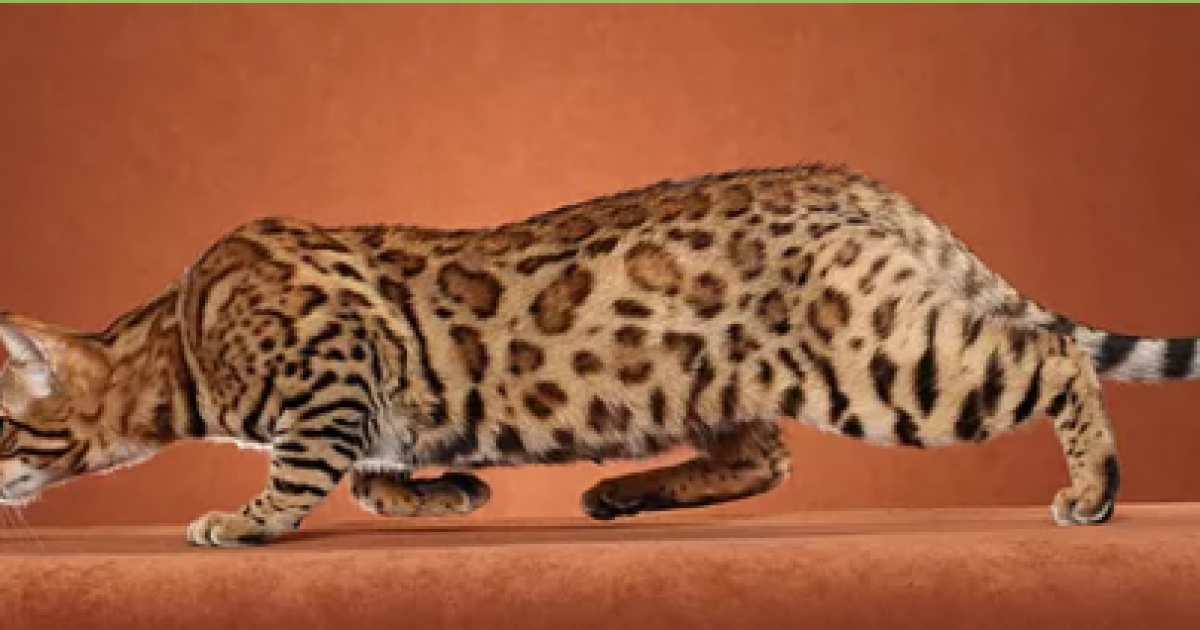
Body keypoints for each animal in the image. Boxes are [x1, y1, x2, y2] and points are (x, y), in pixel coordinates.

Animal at [0, 162, 1181, 547]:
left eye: (1, 425)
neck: (180, 336)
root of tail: (859, 184)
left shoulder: (336, 366)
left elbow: (299, 476)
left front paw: (243, 523)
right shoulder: (370, 405)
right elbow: (379, 476)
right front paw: (449, 492)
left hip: (885, 365)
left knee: (1052, 356)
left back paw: (1095, 490)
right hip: (723, 377)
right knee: (763, 457)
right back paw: (620, 494)